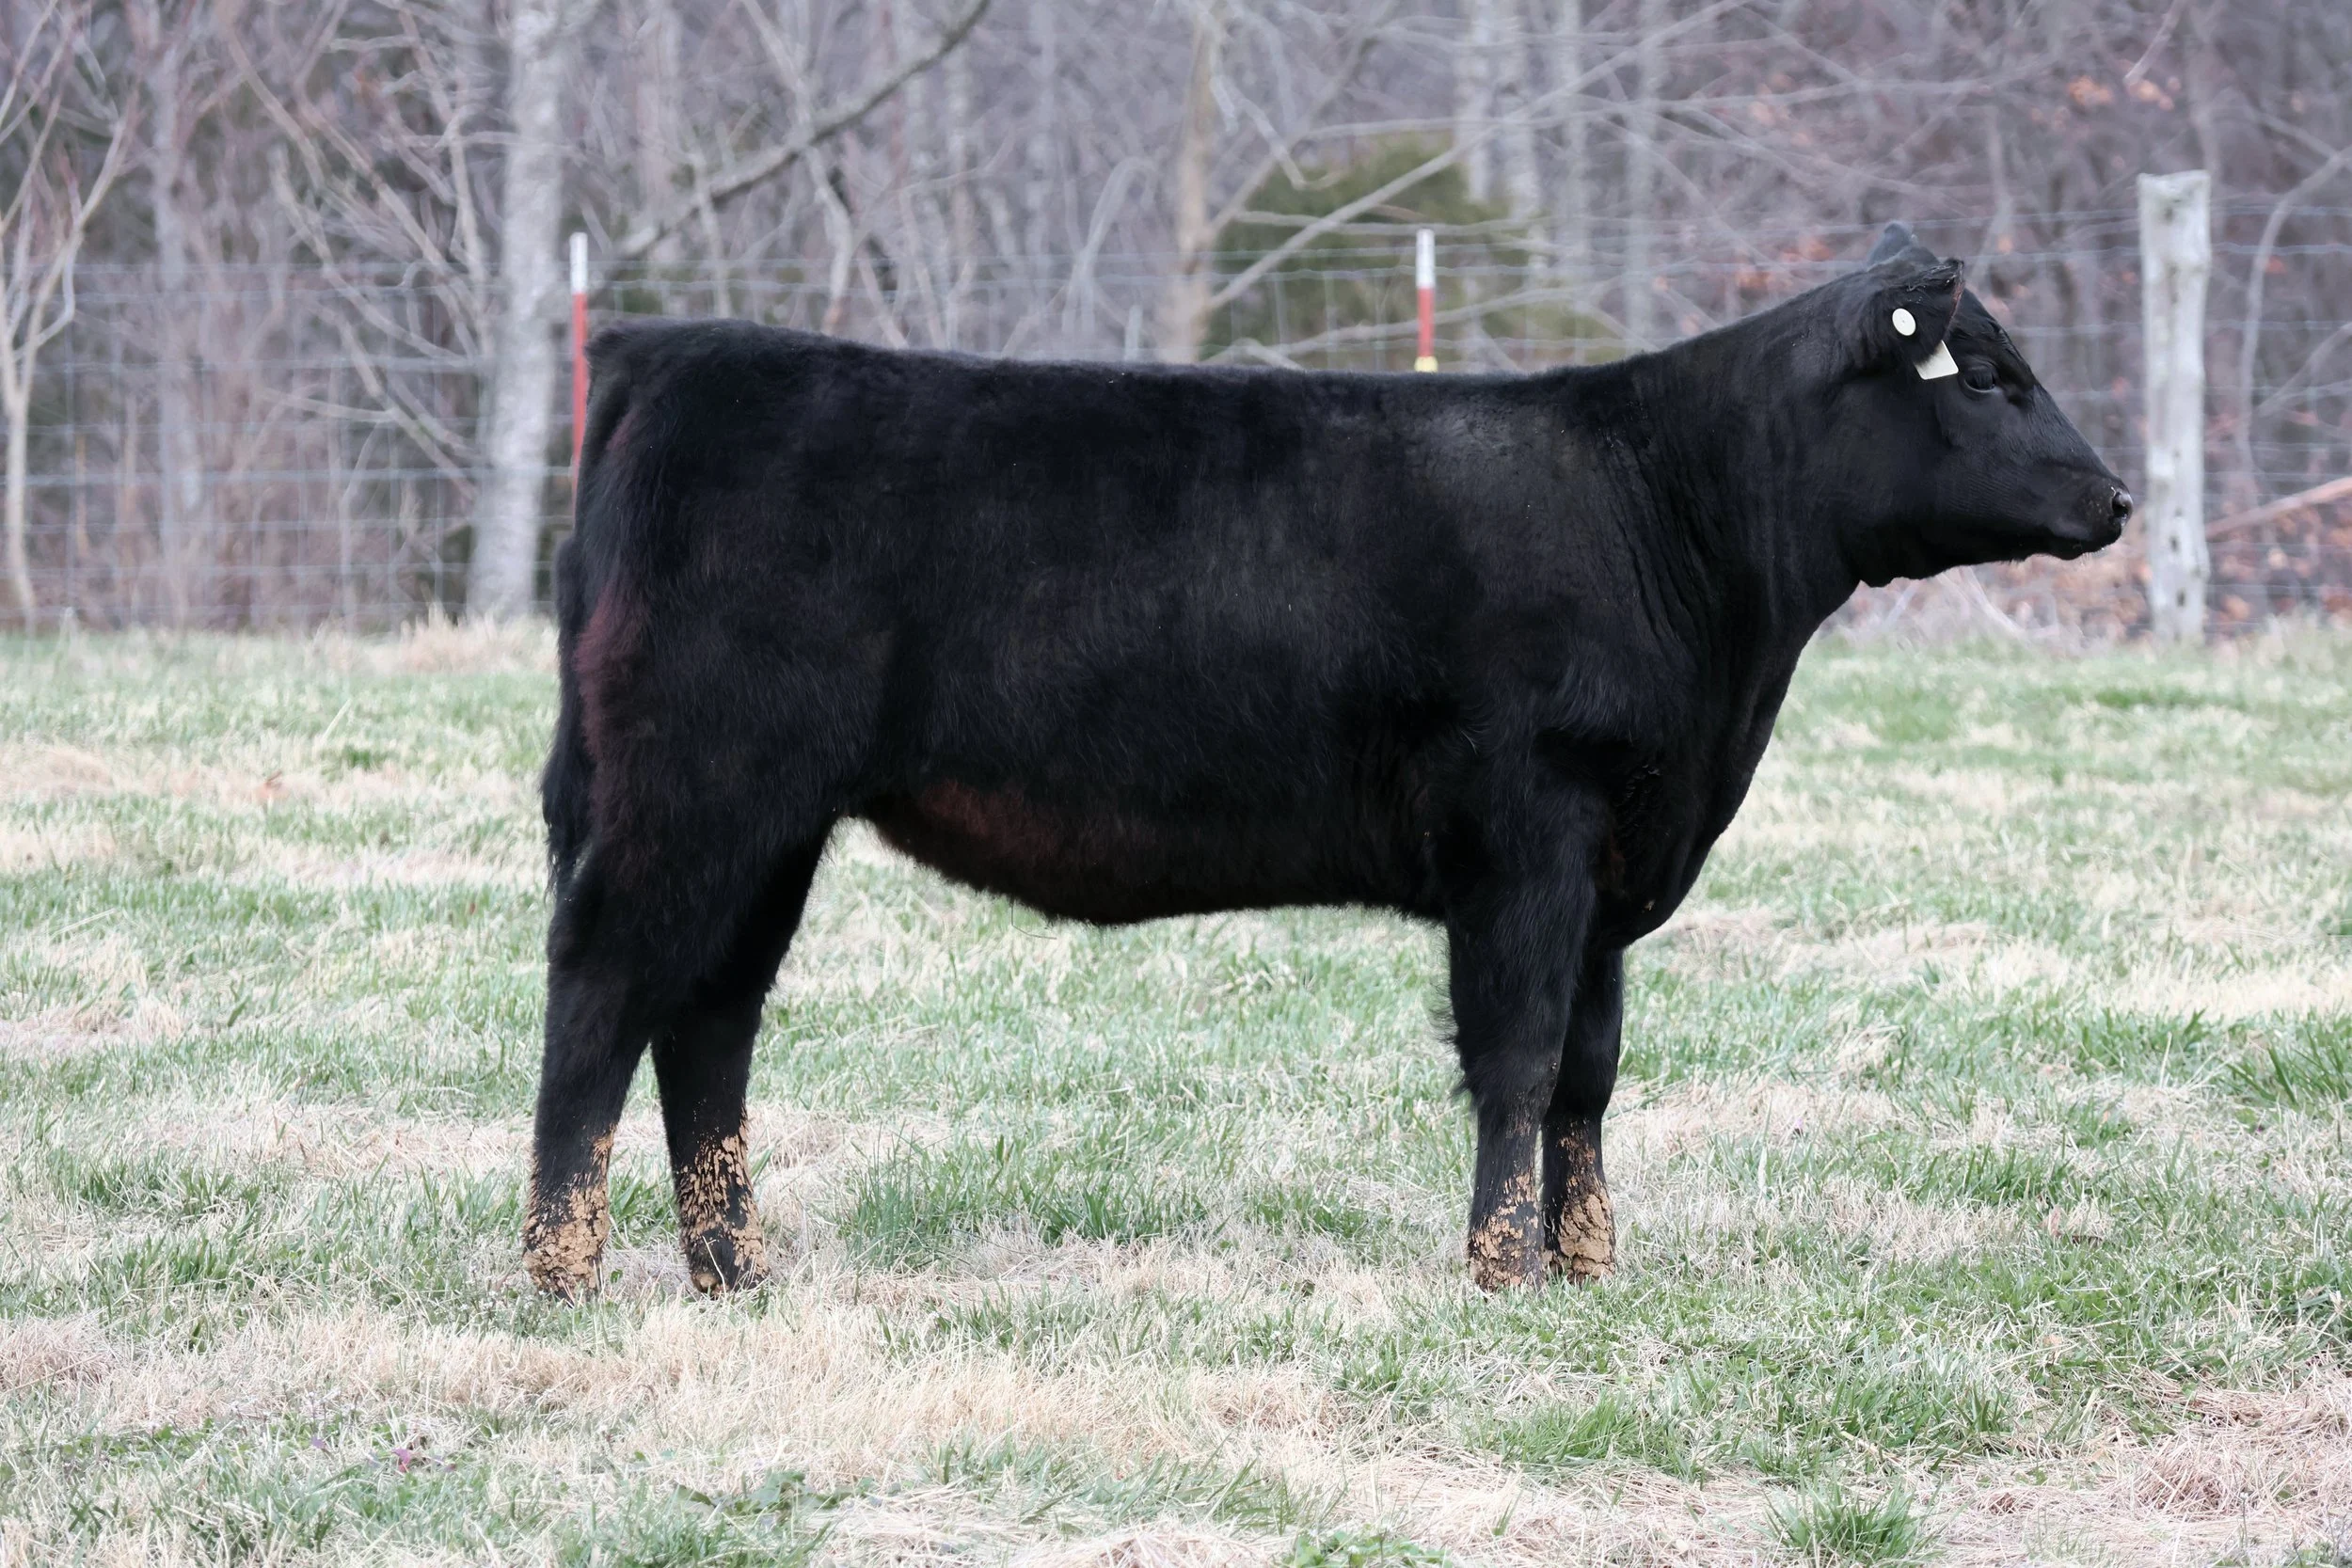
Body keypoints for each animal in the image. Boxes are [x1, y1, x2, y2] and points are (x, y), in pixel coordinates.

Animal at [525, 222, 2129, 1299]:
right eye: (1986, 378)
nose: (2116, 494)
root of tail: (679, 350)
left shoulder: (1615, 862)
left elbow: (1592, 1072)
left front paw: (1590, 1266)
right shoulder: (1531, 830)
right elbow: (1520, 1054)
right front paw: (1500, 1273)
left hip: (767, 818)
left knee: (711, 1015)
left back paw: (735, 1270)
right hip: (697, 787)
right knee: (605, 991)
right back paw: (563, 1270)